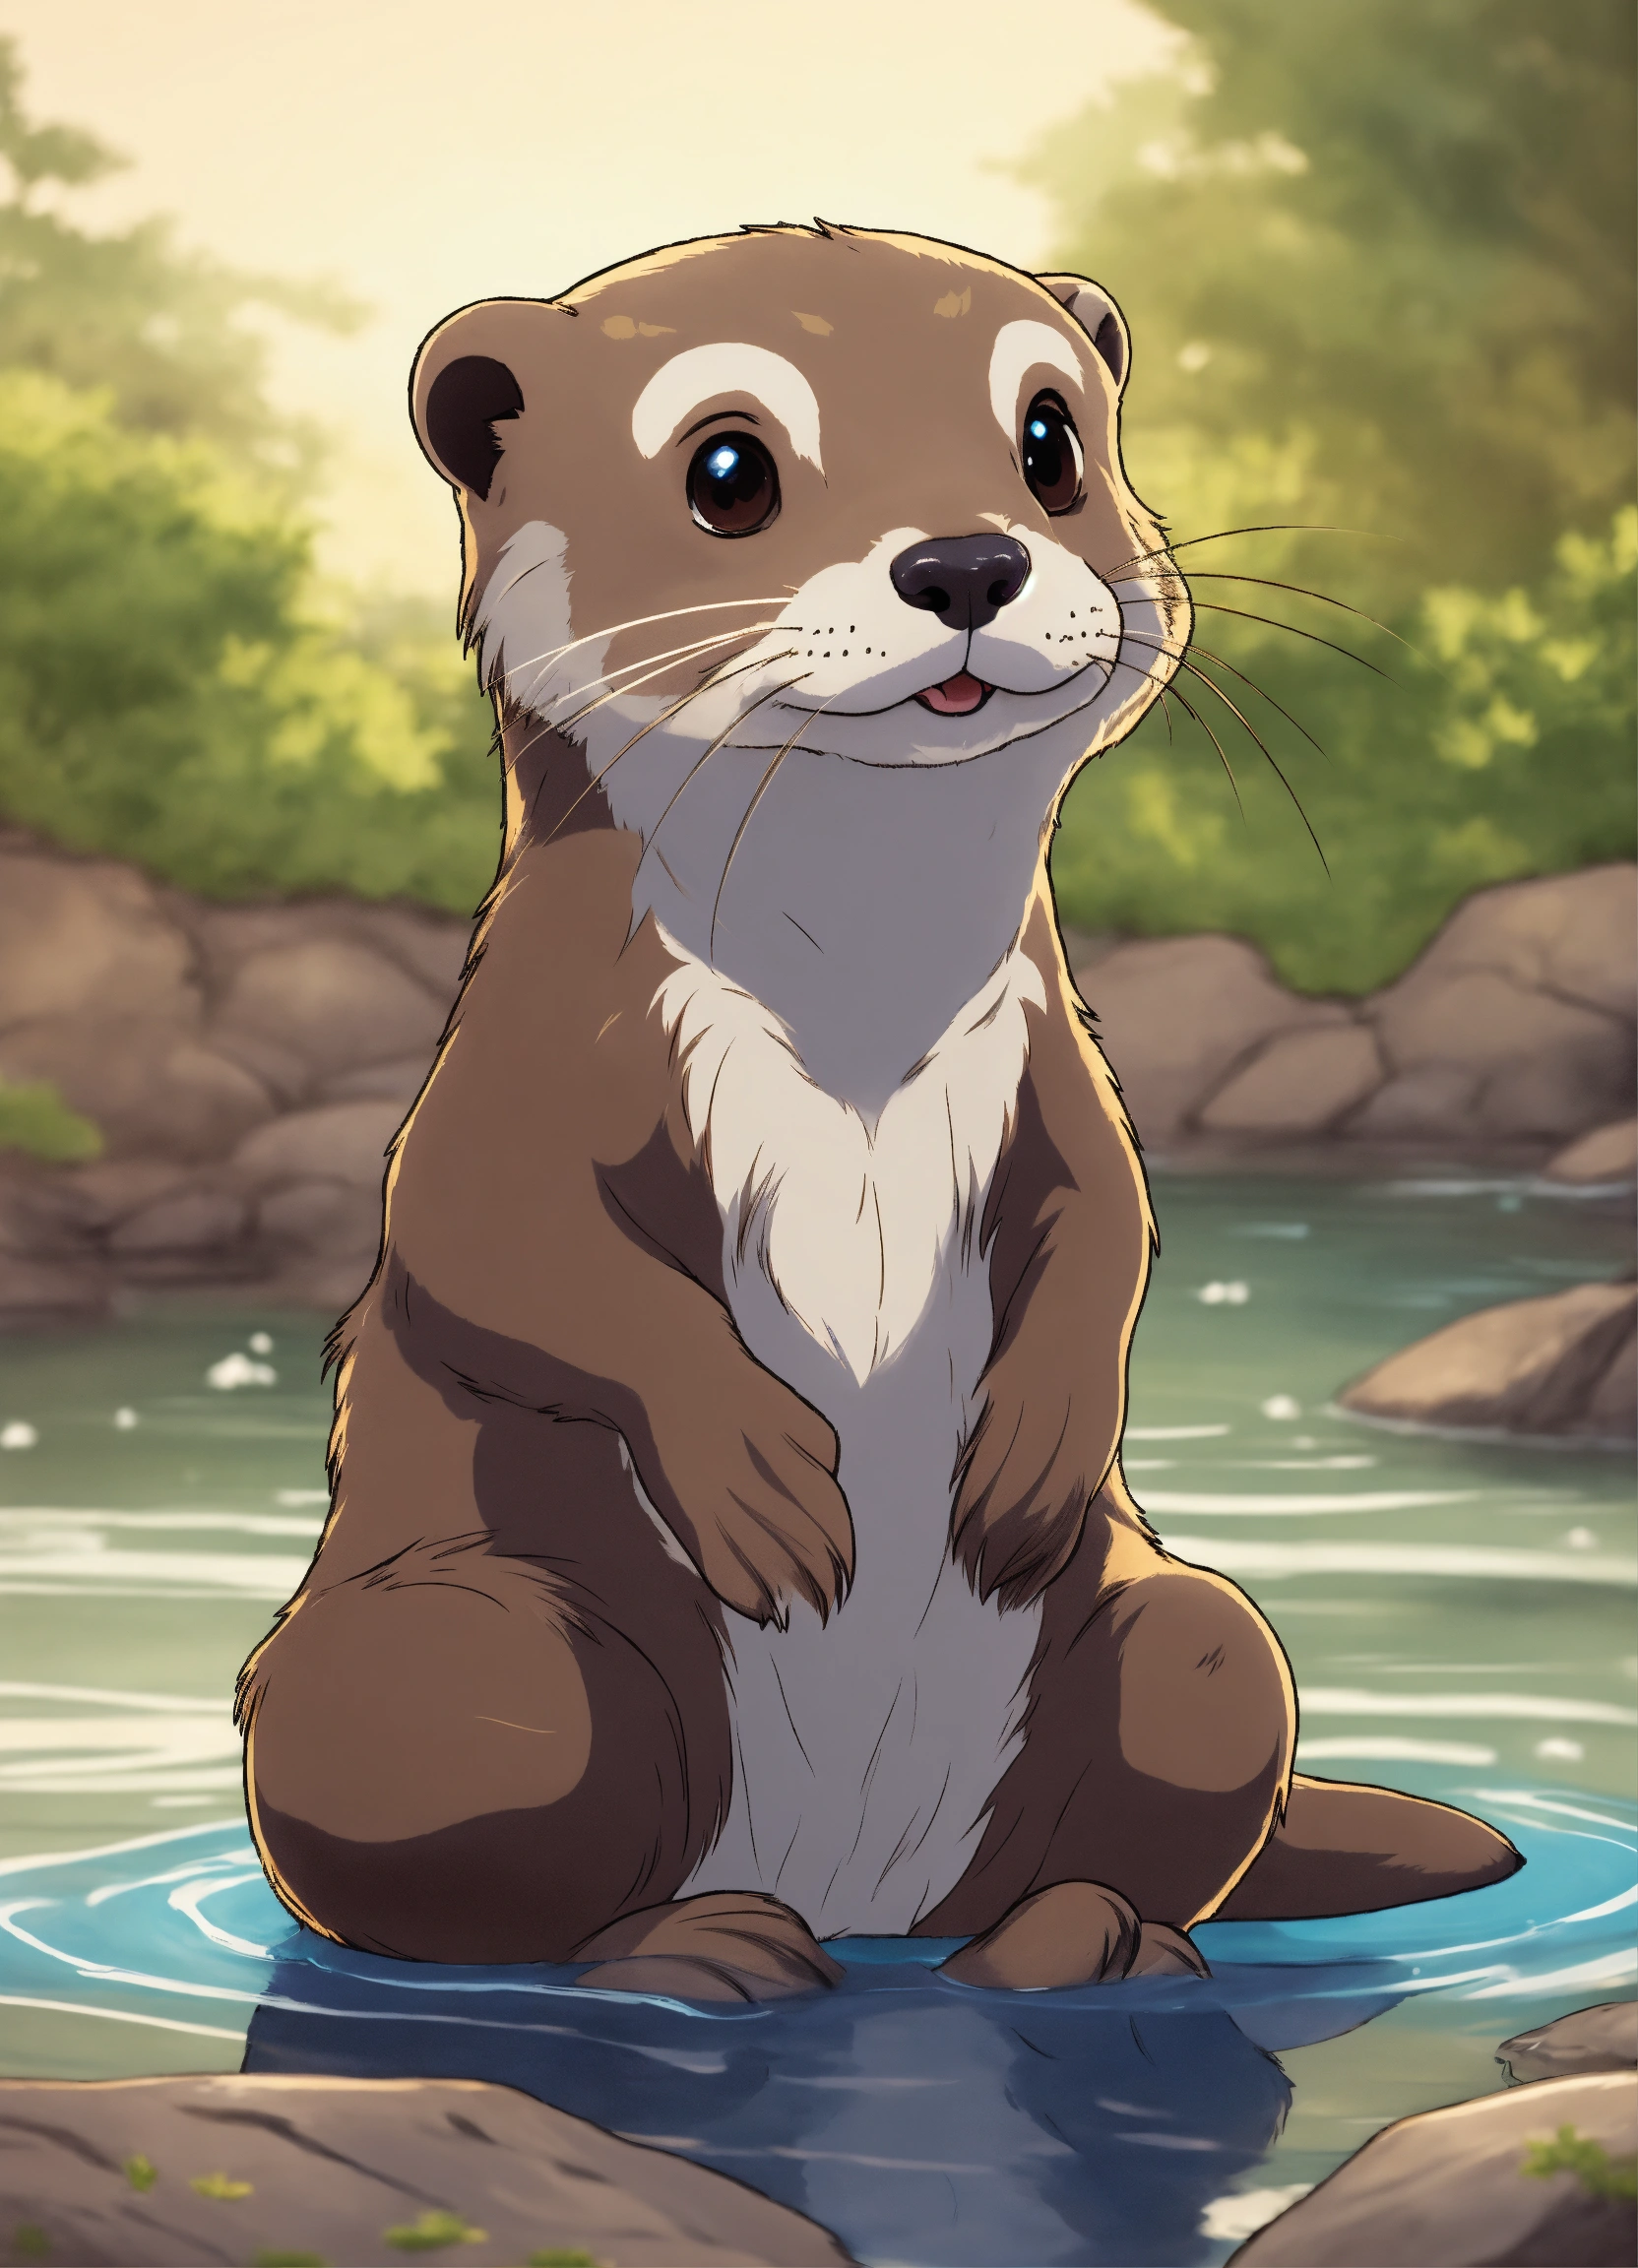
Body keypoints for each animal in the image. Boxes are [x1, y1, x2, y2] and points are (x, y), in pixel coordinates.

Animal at [236, 224, 1518, 1998]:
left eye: (1048, 437)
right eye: (726, 468)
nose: (965, 562)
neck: (853, 986)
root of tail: (858, 1890)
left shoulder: (1052, 1058)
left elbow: (1111, 1224)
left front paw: (1035, 1444)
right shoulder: (521, 1050)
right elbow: (496, 1245)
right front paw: (758, 1471)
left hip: (1176, 1641)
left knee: (1172, 1736)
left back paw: (1075, 1944)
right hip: (463, 1663)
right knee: (493, 1864)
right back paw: (694, 1951)